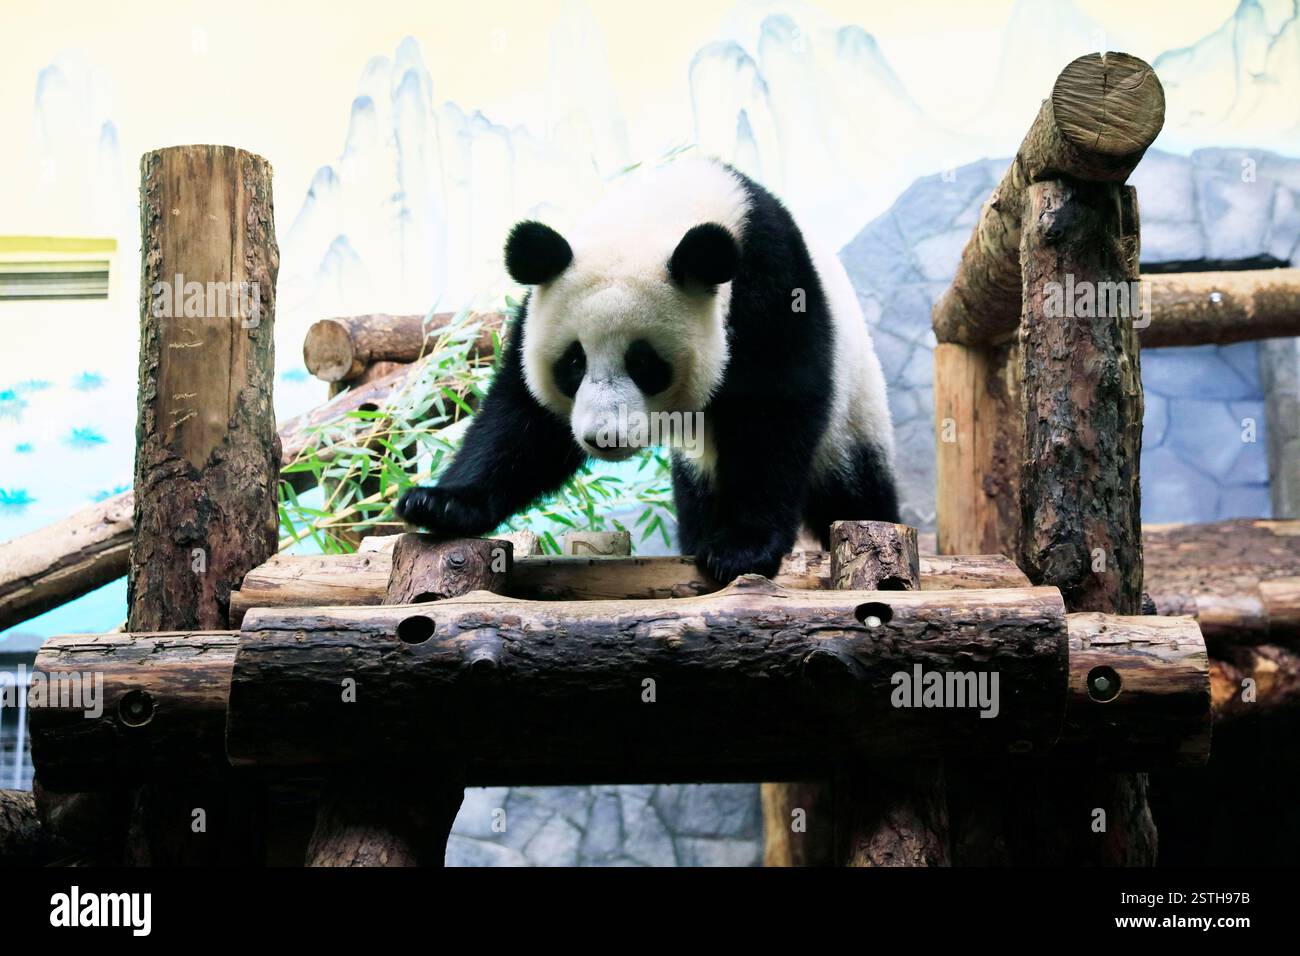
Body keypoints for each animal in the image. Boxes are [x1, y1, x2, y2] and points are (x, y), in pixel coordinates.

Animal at [397, 157, 899, 582]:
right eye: (573, 363)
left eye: (644, 364)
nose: (605, 436)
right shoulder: (538, 310)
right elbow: (521, 421)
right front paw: (439, 503)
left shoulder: (772, 285)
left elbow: (775, 413)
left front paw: (742, 548)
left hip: (854, 411)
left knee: (854, 489)